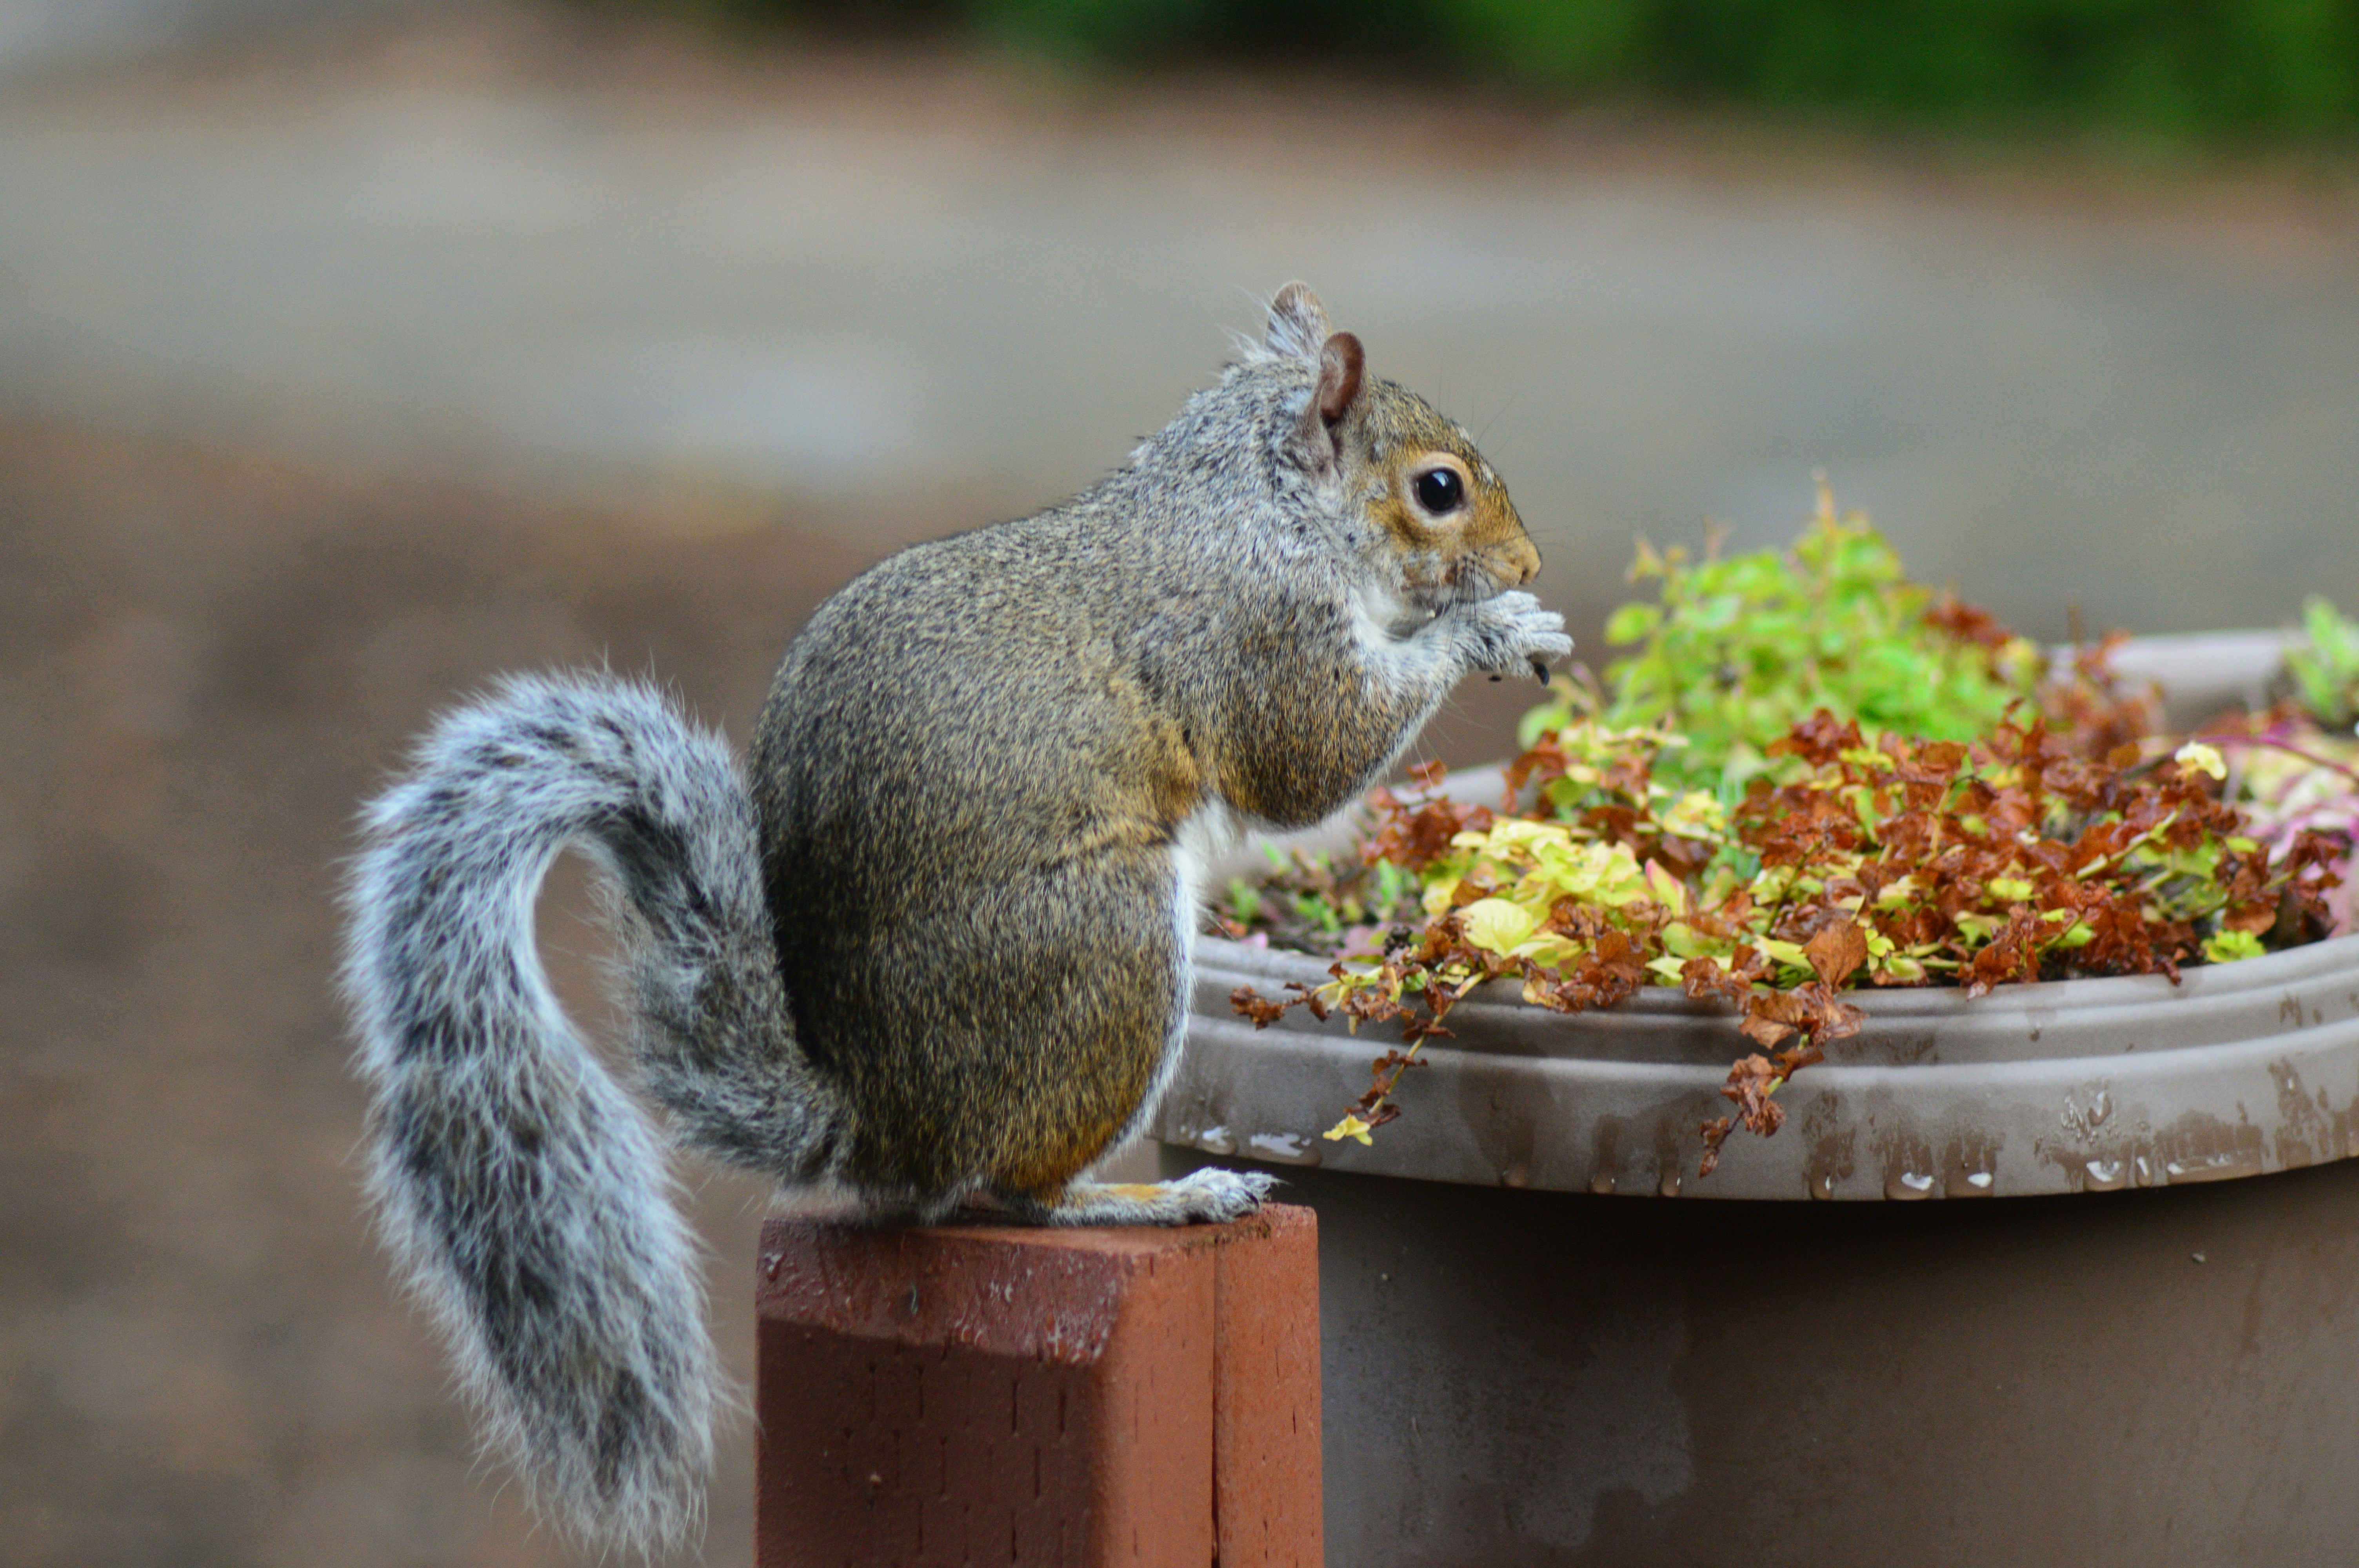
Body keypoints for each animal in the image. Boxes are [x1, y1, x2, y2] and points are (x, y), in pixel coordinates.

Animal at [339, 282, 1569, 1552]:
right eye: (1438, 487)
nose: (1528, 557)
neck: (1254, 507)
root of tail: (882, 1124)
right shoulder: (1258, 638)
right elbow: (1306, 762)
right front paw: (1498, 629)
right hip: (1109, 948)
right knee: (1012, 1193)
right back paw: (1166, 1195)